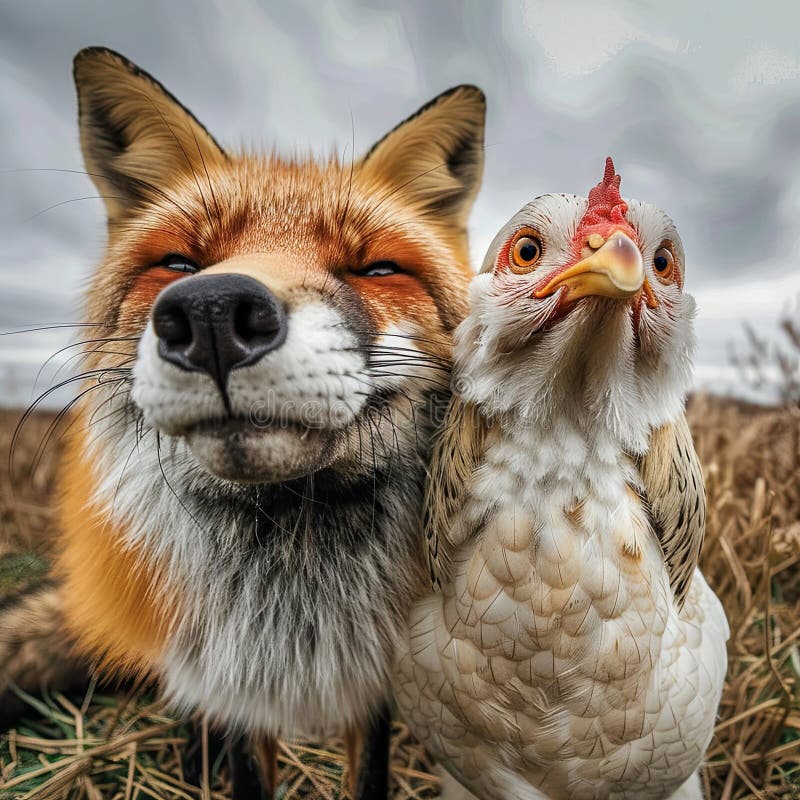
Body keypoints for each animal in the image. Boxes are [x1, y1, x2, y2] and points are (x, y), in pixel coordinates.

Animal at [0, 47, 485, 798]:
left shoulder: (379, 669)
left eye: (377, 268)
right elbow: (247, 771)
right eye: (179, 263)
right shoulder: (231, 679)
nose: (211, 316)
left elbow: (368, 773)